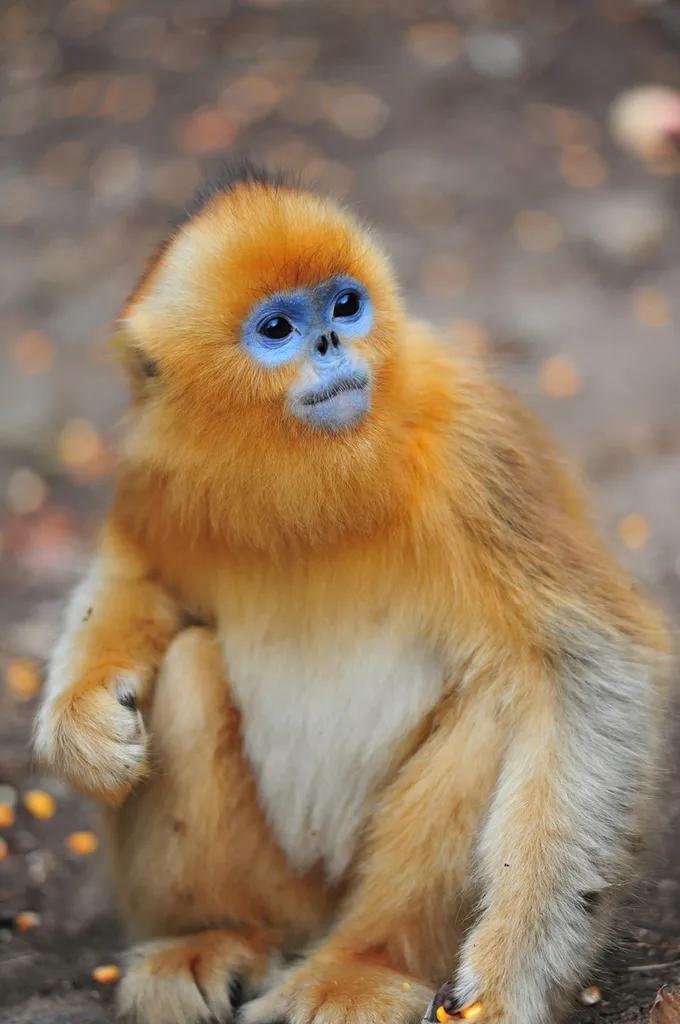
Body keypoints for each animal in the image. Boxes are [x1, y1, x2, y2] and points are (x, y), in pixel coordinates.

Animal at [34, 163, 671, 1024]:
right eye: (277, 329)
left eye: (344, 306)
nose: (333, 343)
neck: (309, 477)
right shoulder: (157, 472)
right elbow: (138, 579)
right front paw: (81, 722)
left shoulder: (475, 447)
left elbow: (593, 674)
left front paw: (514, 976)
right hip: (291, 891)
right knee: (190, 669)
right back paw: (216, 938)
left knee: (504, 700)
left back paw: (361, 967)